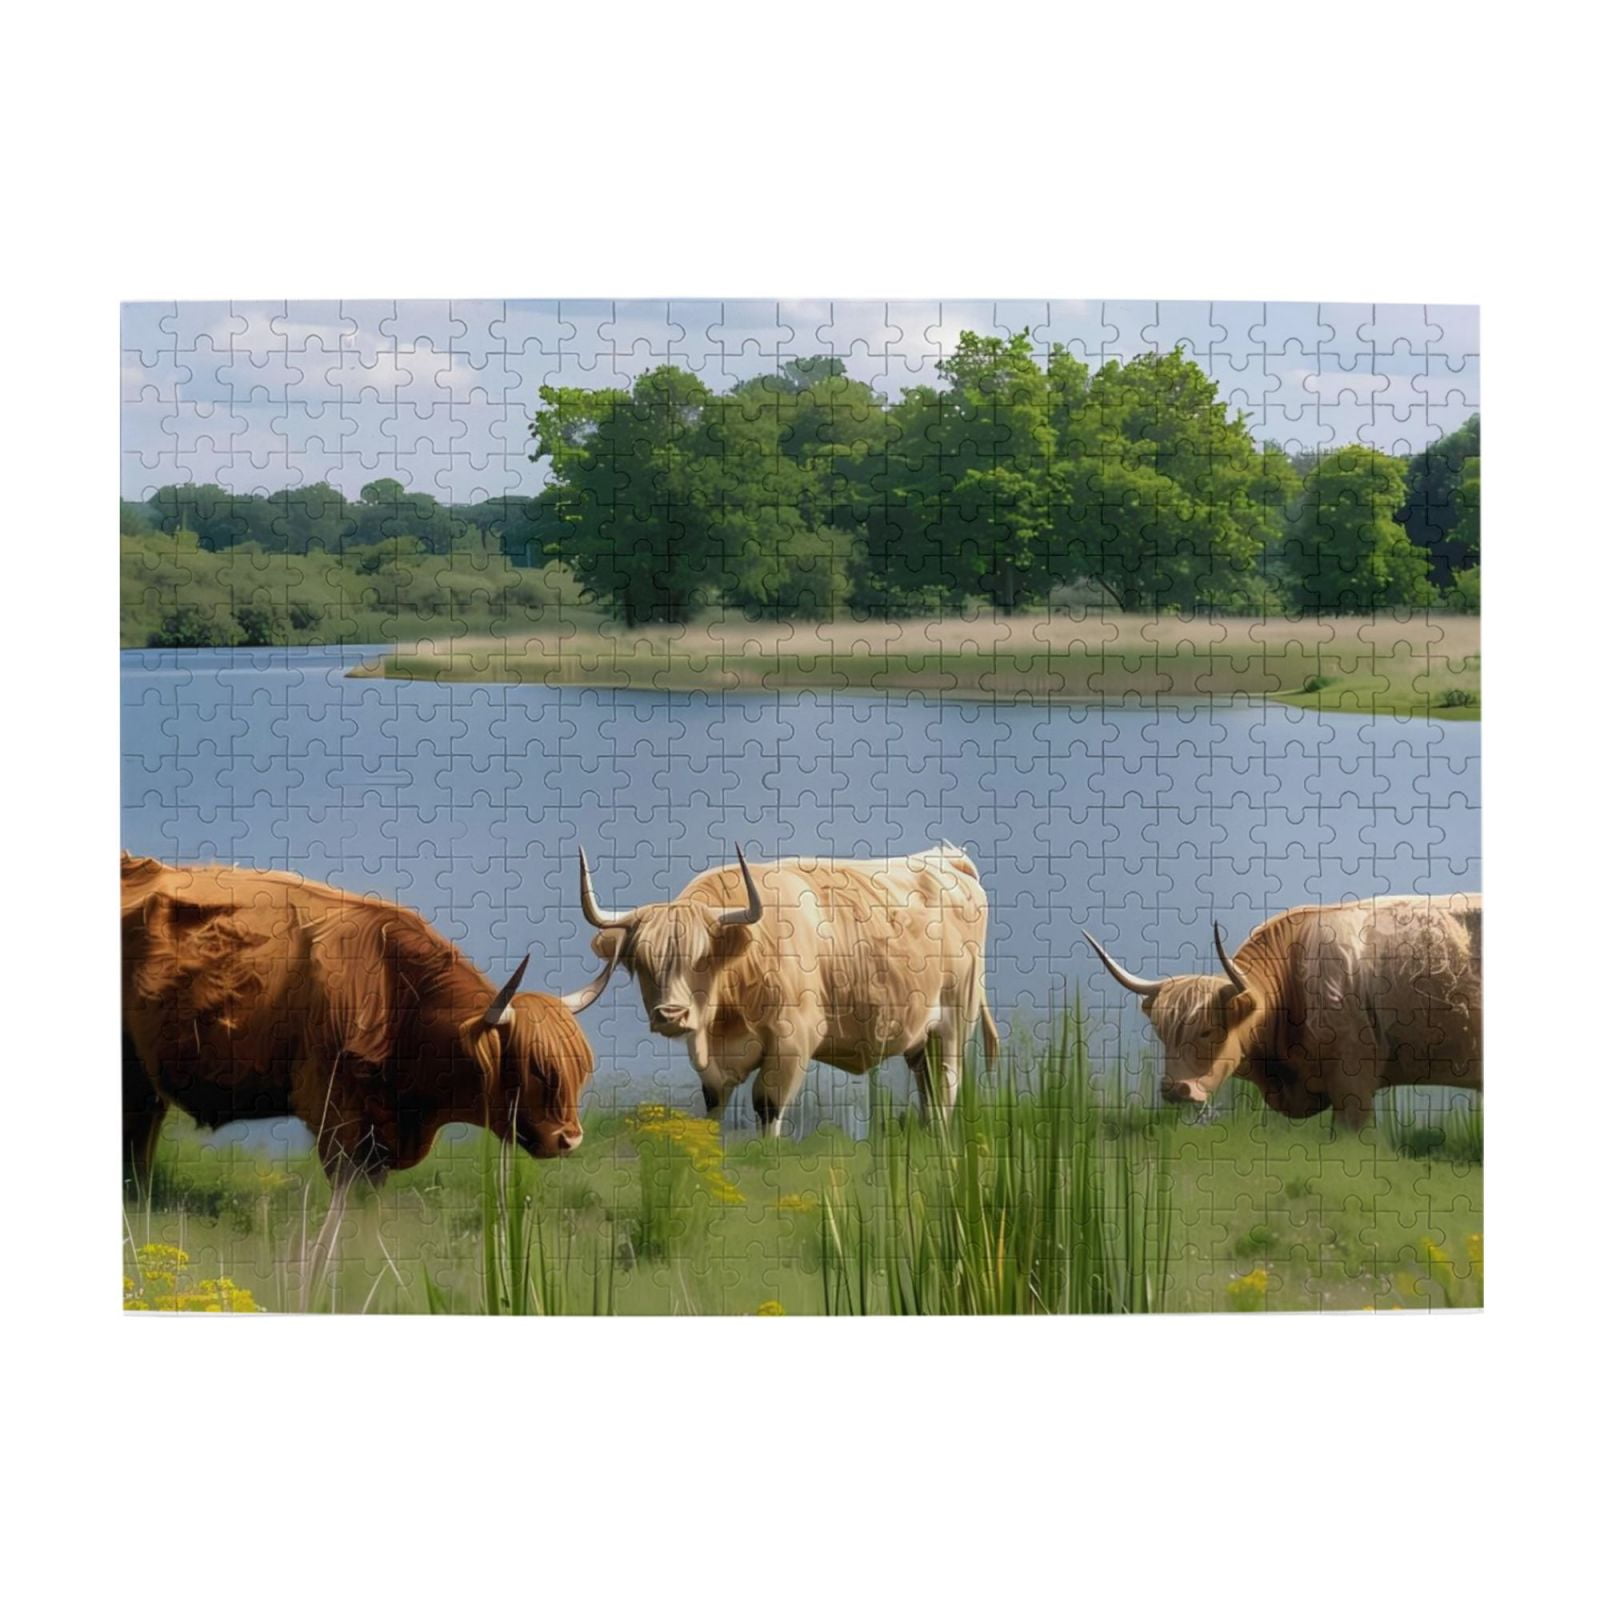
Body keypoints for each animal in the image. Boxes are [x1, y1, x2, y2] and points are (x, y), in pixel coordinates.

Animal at [573, 844, 1001, 1135]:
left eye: (701, 959)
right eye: (642, 964)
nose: (670, 1015)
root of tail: (945, 858)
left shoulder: (792, 1042)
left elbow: (767, 1105)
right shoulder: (713, 1059)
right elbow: (713, 1104)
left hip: (954, 1021)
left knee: (946, 1084)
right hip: (920, 1038)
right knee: (927, 1086)